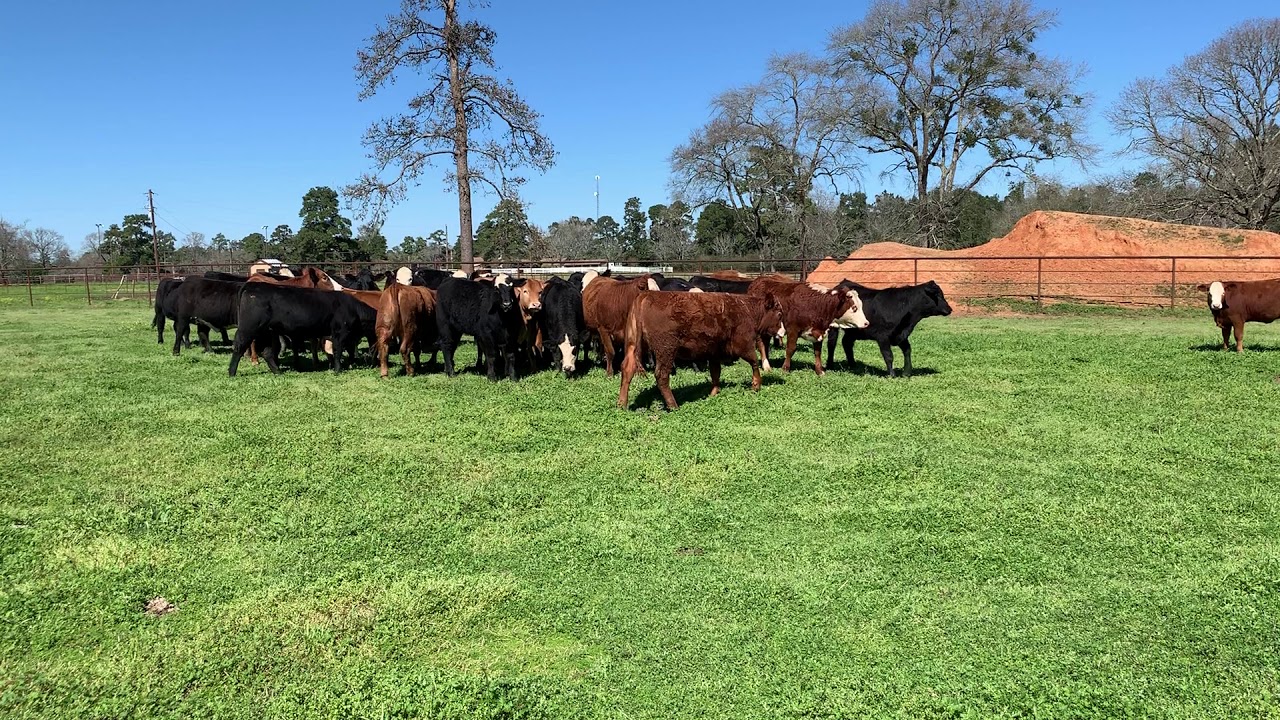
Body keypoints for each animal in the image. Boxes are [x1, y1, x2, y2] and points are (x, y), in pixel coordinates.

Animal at [228, 283, 374, 376]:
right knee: (239, 347)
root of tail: (252, 285)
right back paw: (231, 373)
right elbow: (337, 351)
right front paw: (338, 370)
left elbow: (349, 351)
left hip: (267, 332)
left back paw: (278, 372)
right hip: (248, 328)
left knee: (267, 352)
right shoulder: (340, 332)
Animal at [617, 292, 786, 410]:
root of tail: (646, 295)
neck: (746, 309)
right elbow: (754, 361)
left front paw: (713, 393)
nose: (783, 332)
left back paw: (621, 404)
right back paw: (673, 405)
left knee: (627, 369)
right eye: (779, 314)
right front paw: (756, 385)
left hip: (632, 346)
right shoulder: (743, 343)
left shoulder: (715, 352)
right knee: (661, 376)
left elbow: (715, 372)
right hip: (666, 350)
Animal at [824, 280, 953, 377]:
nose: (949, 309)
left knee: (846, 343)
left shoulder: (901, 335)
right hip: (833, 327)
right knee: (831, 344)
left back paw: (853, 365)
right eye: (938, 295)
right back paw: (830, 365)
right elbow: (888, 355)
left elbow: (907, 350)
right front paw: (891, 374)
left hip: (853, 331)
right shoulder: (882, 336)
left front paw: (907, 372)